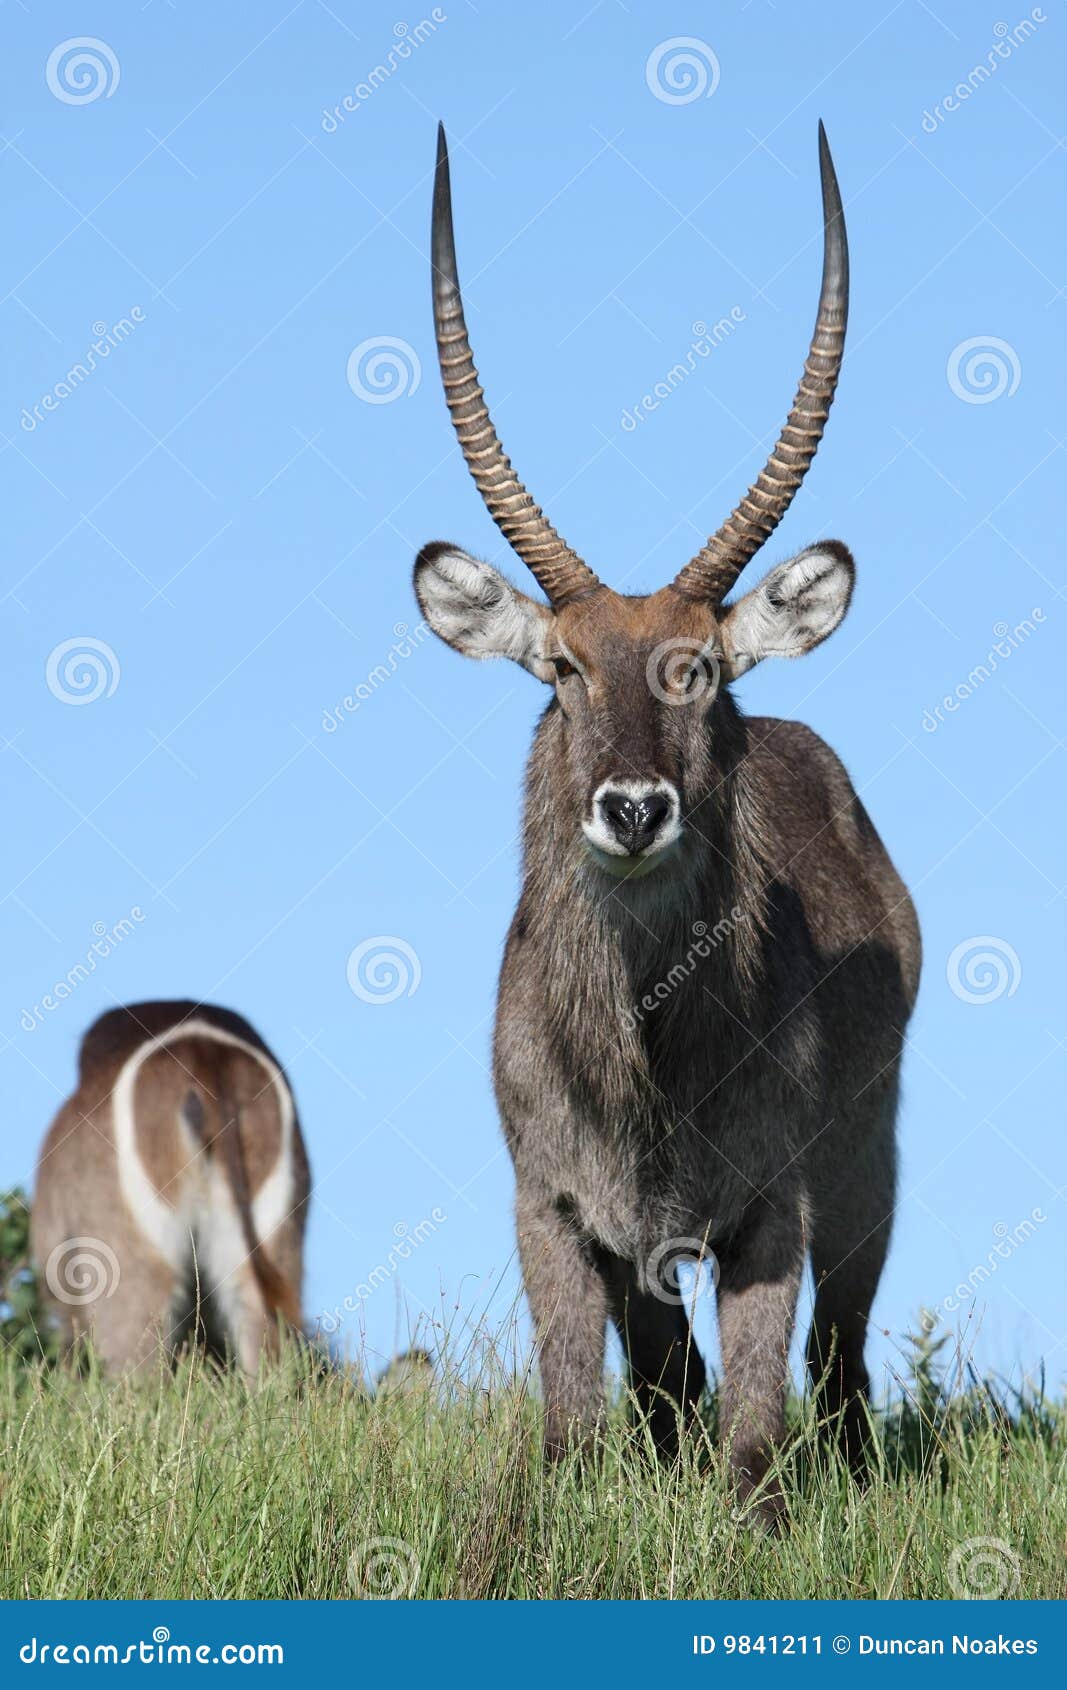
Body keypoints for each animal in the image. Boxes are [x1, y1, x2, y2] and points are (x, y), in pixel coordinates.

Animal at [414, 124, 921, 1518]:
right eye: (562, 666)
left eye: (695, 667)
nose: (632, 807)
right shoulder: (552, 1208)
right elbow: (572, 1428)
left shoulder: (769, 1212)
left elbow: (751, 1442)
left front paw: (751, 1518)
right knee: (661, 1369)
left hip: (866, 1170)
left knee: (838, 1356)